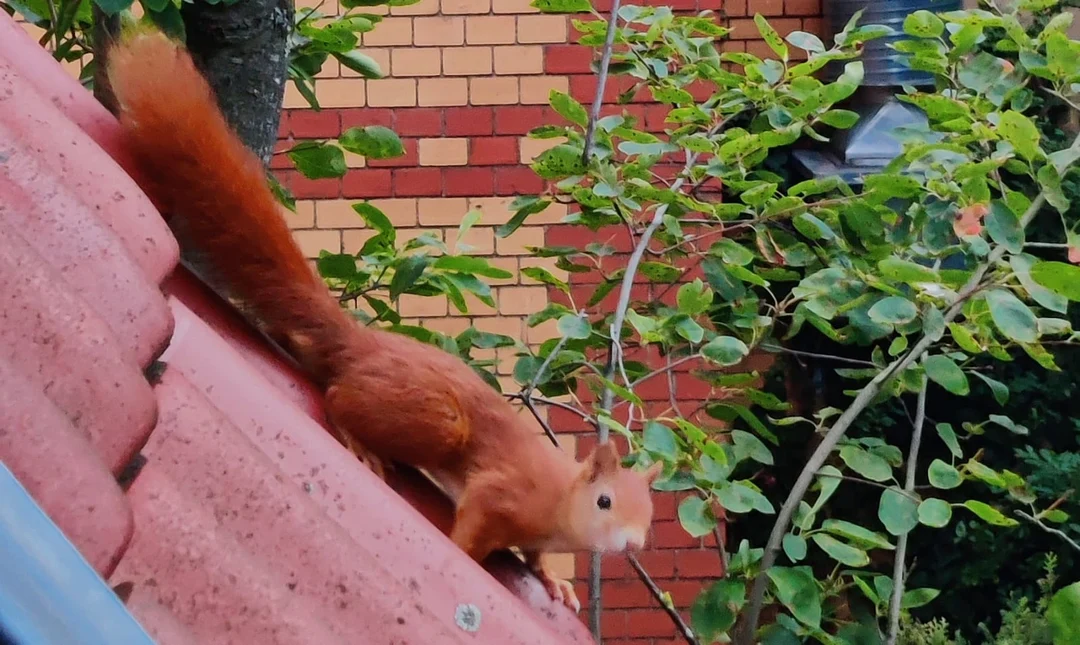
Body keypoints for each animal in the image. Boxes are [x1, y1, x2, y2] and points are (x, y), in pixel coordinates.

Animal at [105, 27, 662, 612]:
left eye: (647, 511)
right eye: (604, 501)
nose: (632, 542)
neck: (559, 503)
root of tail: (364, 345)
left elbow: (535, 558)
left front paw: (554, 580)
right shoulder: (505, 491)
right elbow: (475, 524)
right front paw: (465, 557)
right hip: (436, 418)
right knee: (338, 398)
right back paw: (361, 440)